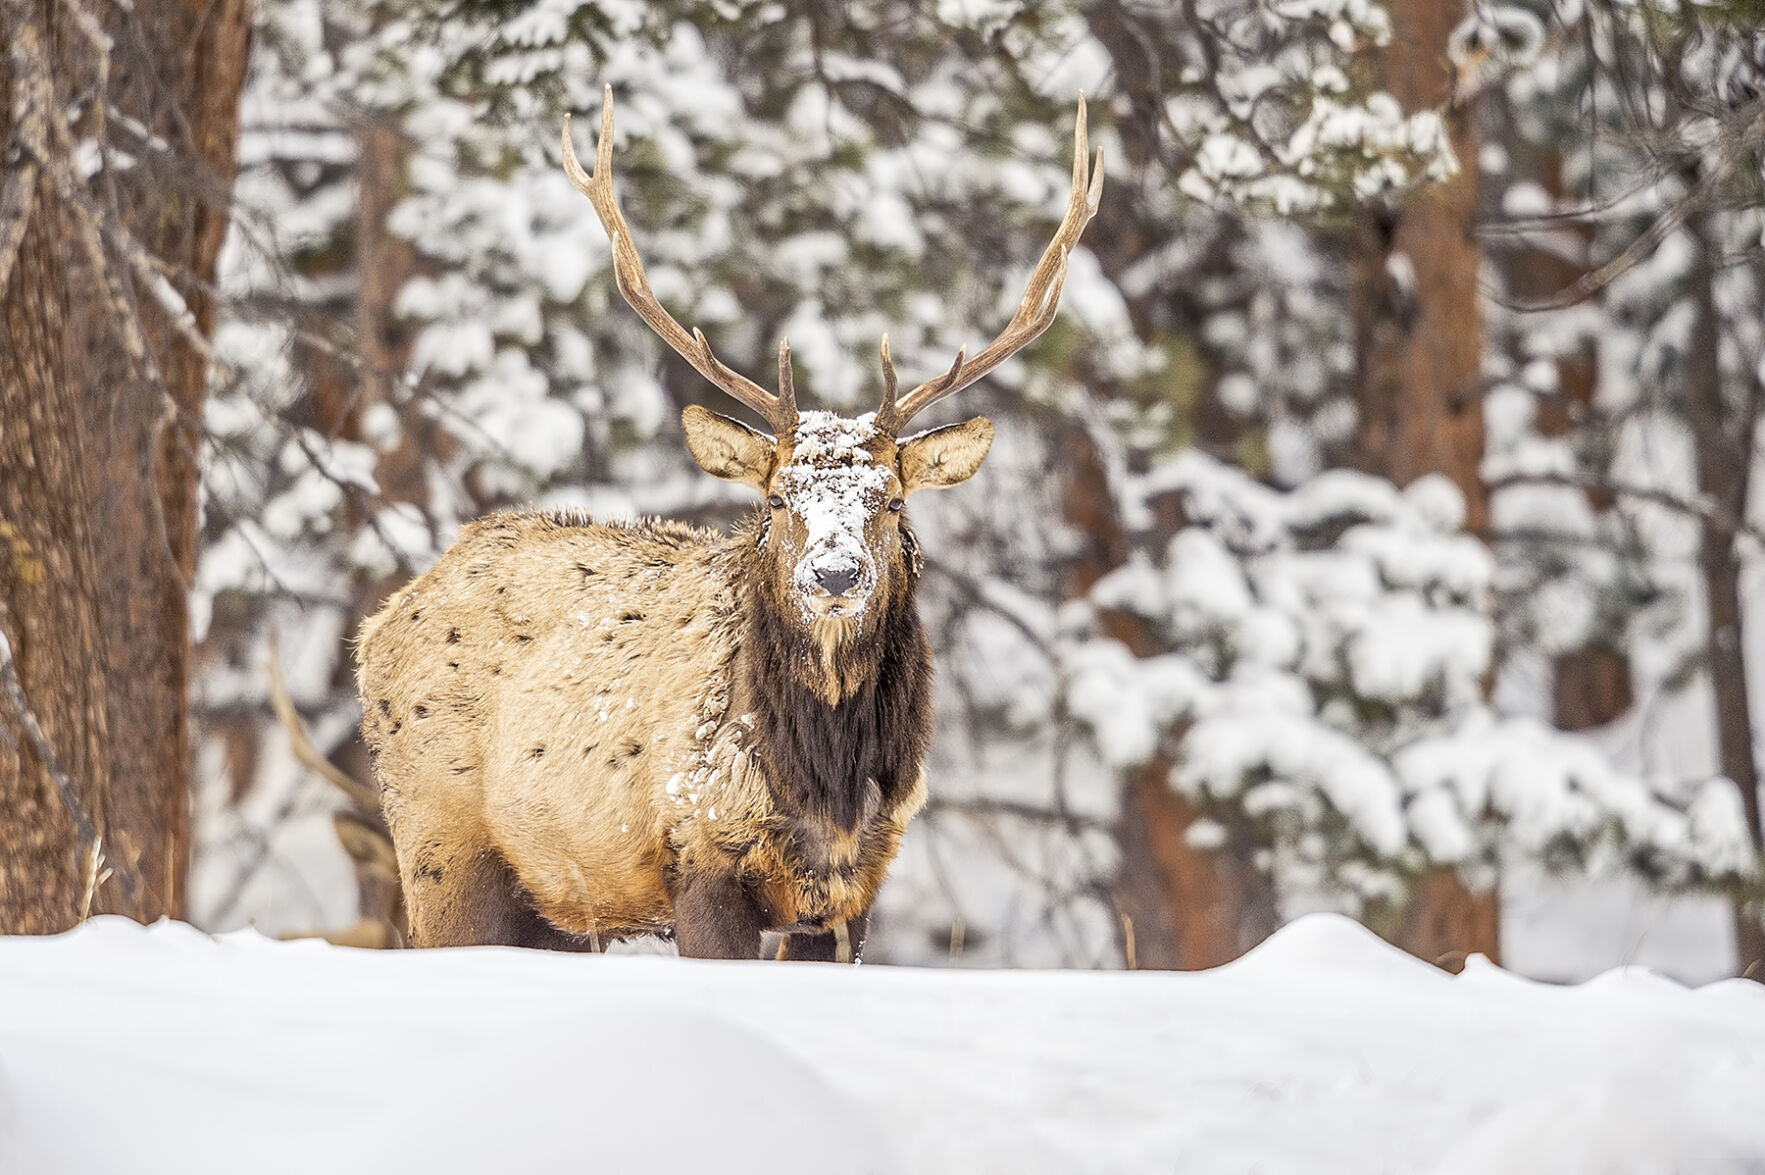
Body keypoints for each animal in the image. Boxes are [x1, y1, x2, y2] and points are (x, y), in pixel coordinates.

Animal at [354, 87, 1102, 961]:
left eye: (891, 498)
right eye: (776, 499)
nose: (835, 574)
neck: (826, 792)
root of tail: (381, 620)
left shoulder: (853, 890)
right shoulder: (698, 855)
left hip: (547, 902)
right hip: (439, 845)